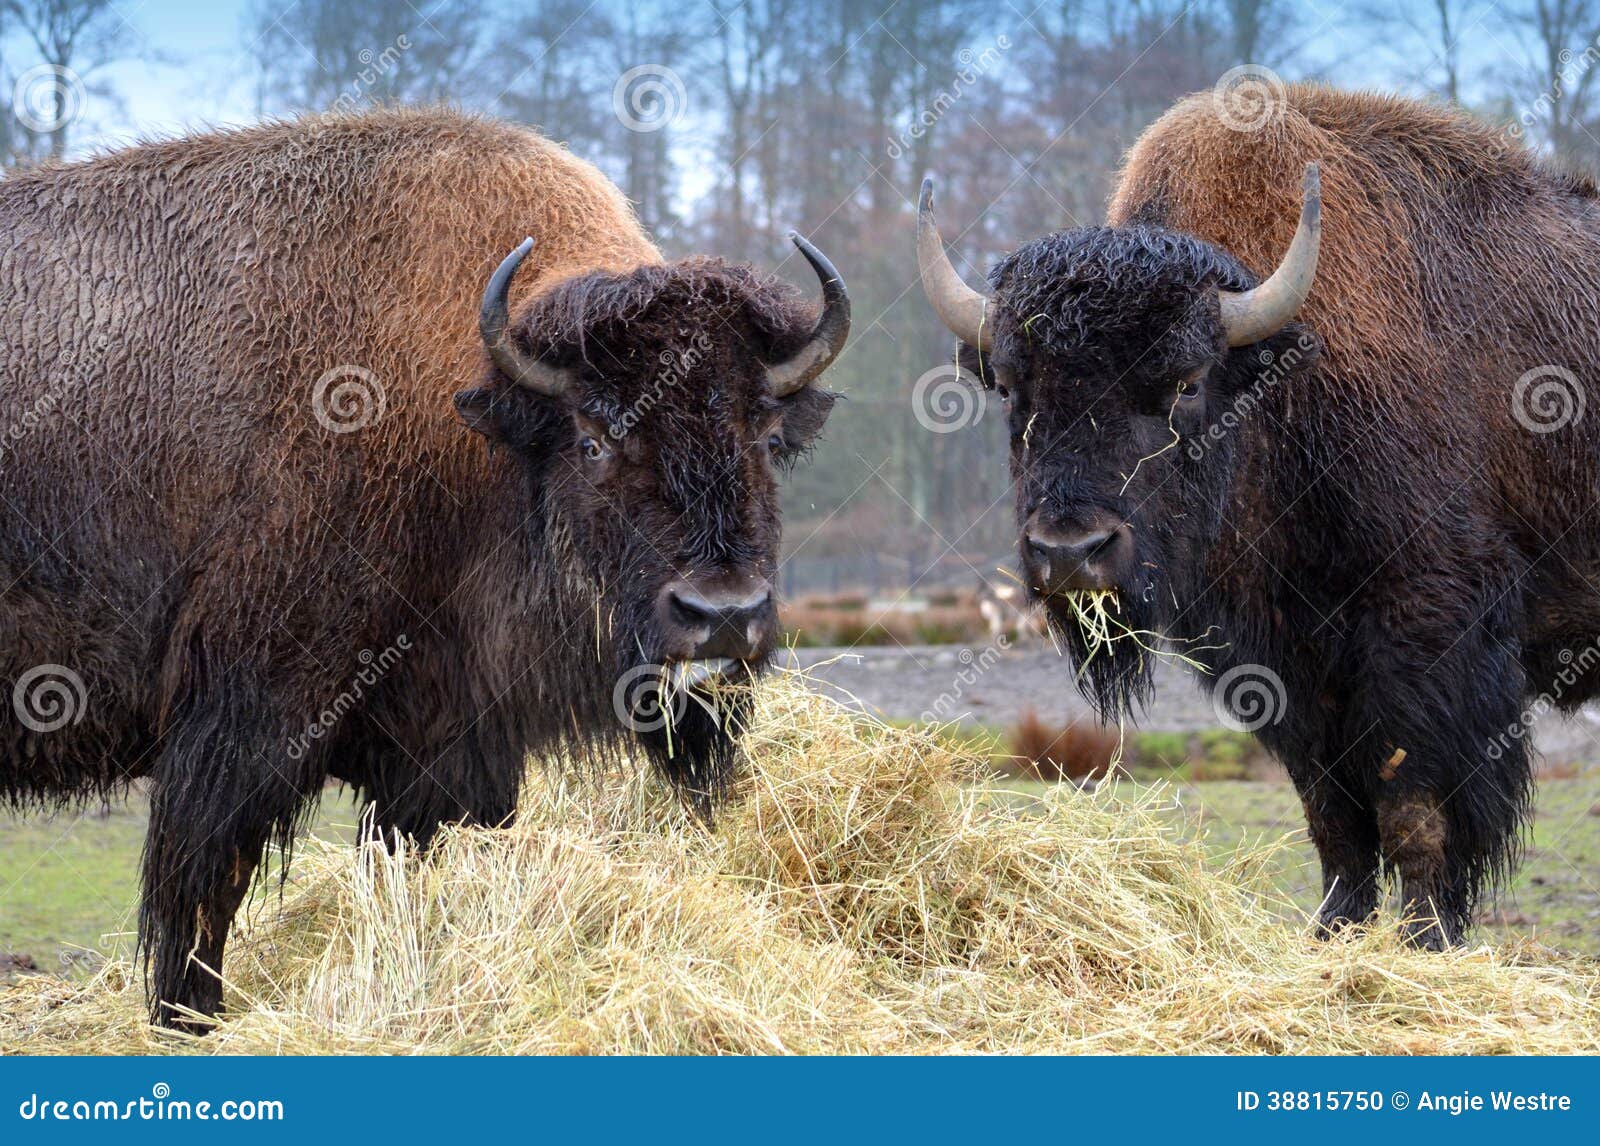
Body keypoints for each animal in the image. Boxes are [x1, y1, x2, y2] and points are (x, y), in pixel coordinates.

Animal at [0, 108, 848, 1026]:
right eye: (591, 439)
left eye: (767, 437)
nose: (721, 615)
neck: (481, 426)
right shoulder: (244, 717)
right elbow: (201, 894)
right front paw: (186, 1018)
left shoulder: (448, 744)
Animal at [916, 85, 1599, 947]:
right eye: (1011, 387)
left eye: (1184, 382)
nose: (1071, 551)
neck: (1281, 386)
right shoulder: (1282, 663)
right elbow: (1333, 816)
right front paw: (1334, 933)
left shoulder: (1428, 634)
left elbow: (1415, 808)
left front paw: (1421, 940)